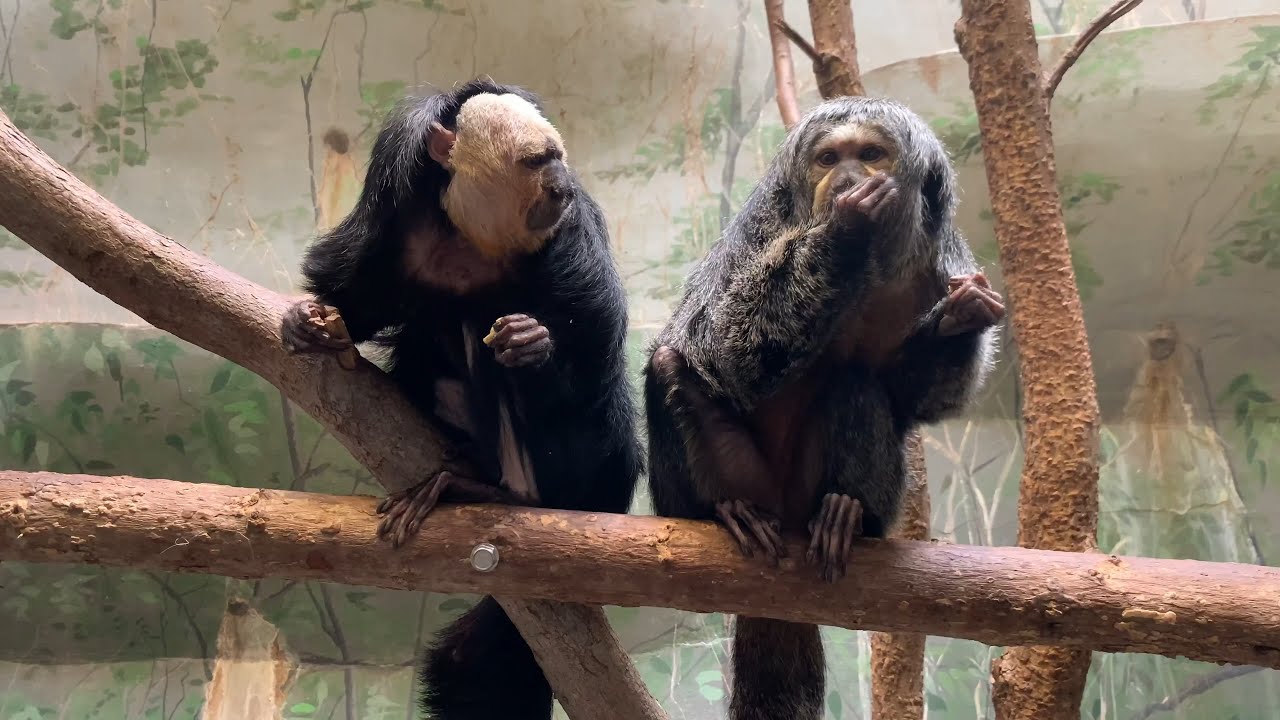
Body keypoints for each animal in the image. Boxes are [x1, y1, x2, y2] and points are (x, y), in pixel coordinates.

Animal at [280, 78, 643, 720]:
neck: (471, 237)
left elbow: (592, 360)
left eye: (558, 159)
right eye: (538, 161)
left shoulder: (575, 236)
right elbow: (358, 293)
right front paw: (312, 321)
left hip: (591, 480)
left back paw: (497, 491)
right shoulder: (397, 220)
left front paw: (531, 346)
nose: (562, 186)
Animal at [642, 96, 1004, 720]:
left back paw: (846, 510)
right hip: (738, 484)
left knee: (855, 383)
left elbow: (914, 399)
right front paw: (845, 228)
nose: (848, 179)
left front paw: (961, 320)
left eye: (871, 154)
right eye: (830, 159)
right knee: (670, 365)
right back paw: (725, 509)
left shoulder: (942, 264)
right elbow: (722, 347)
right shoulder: (758, 232)